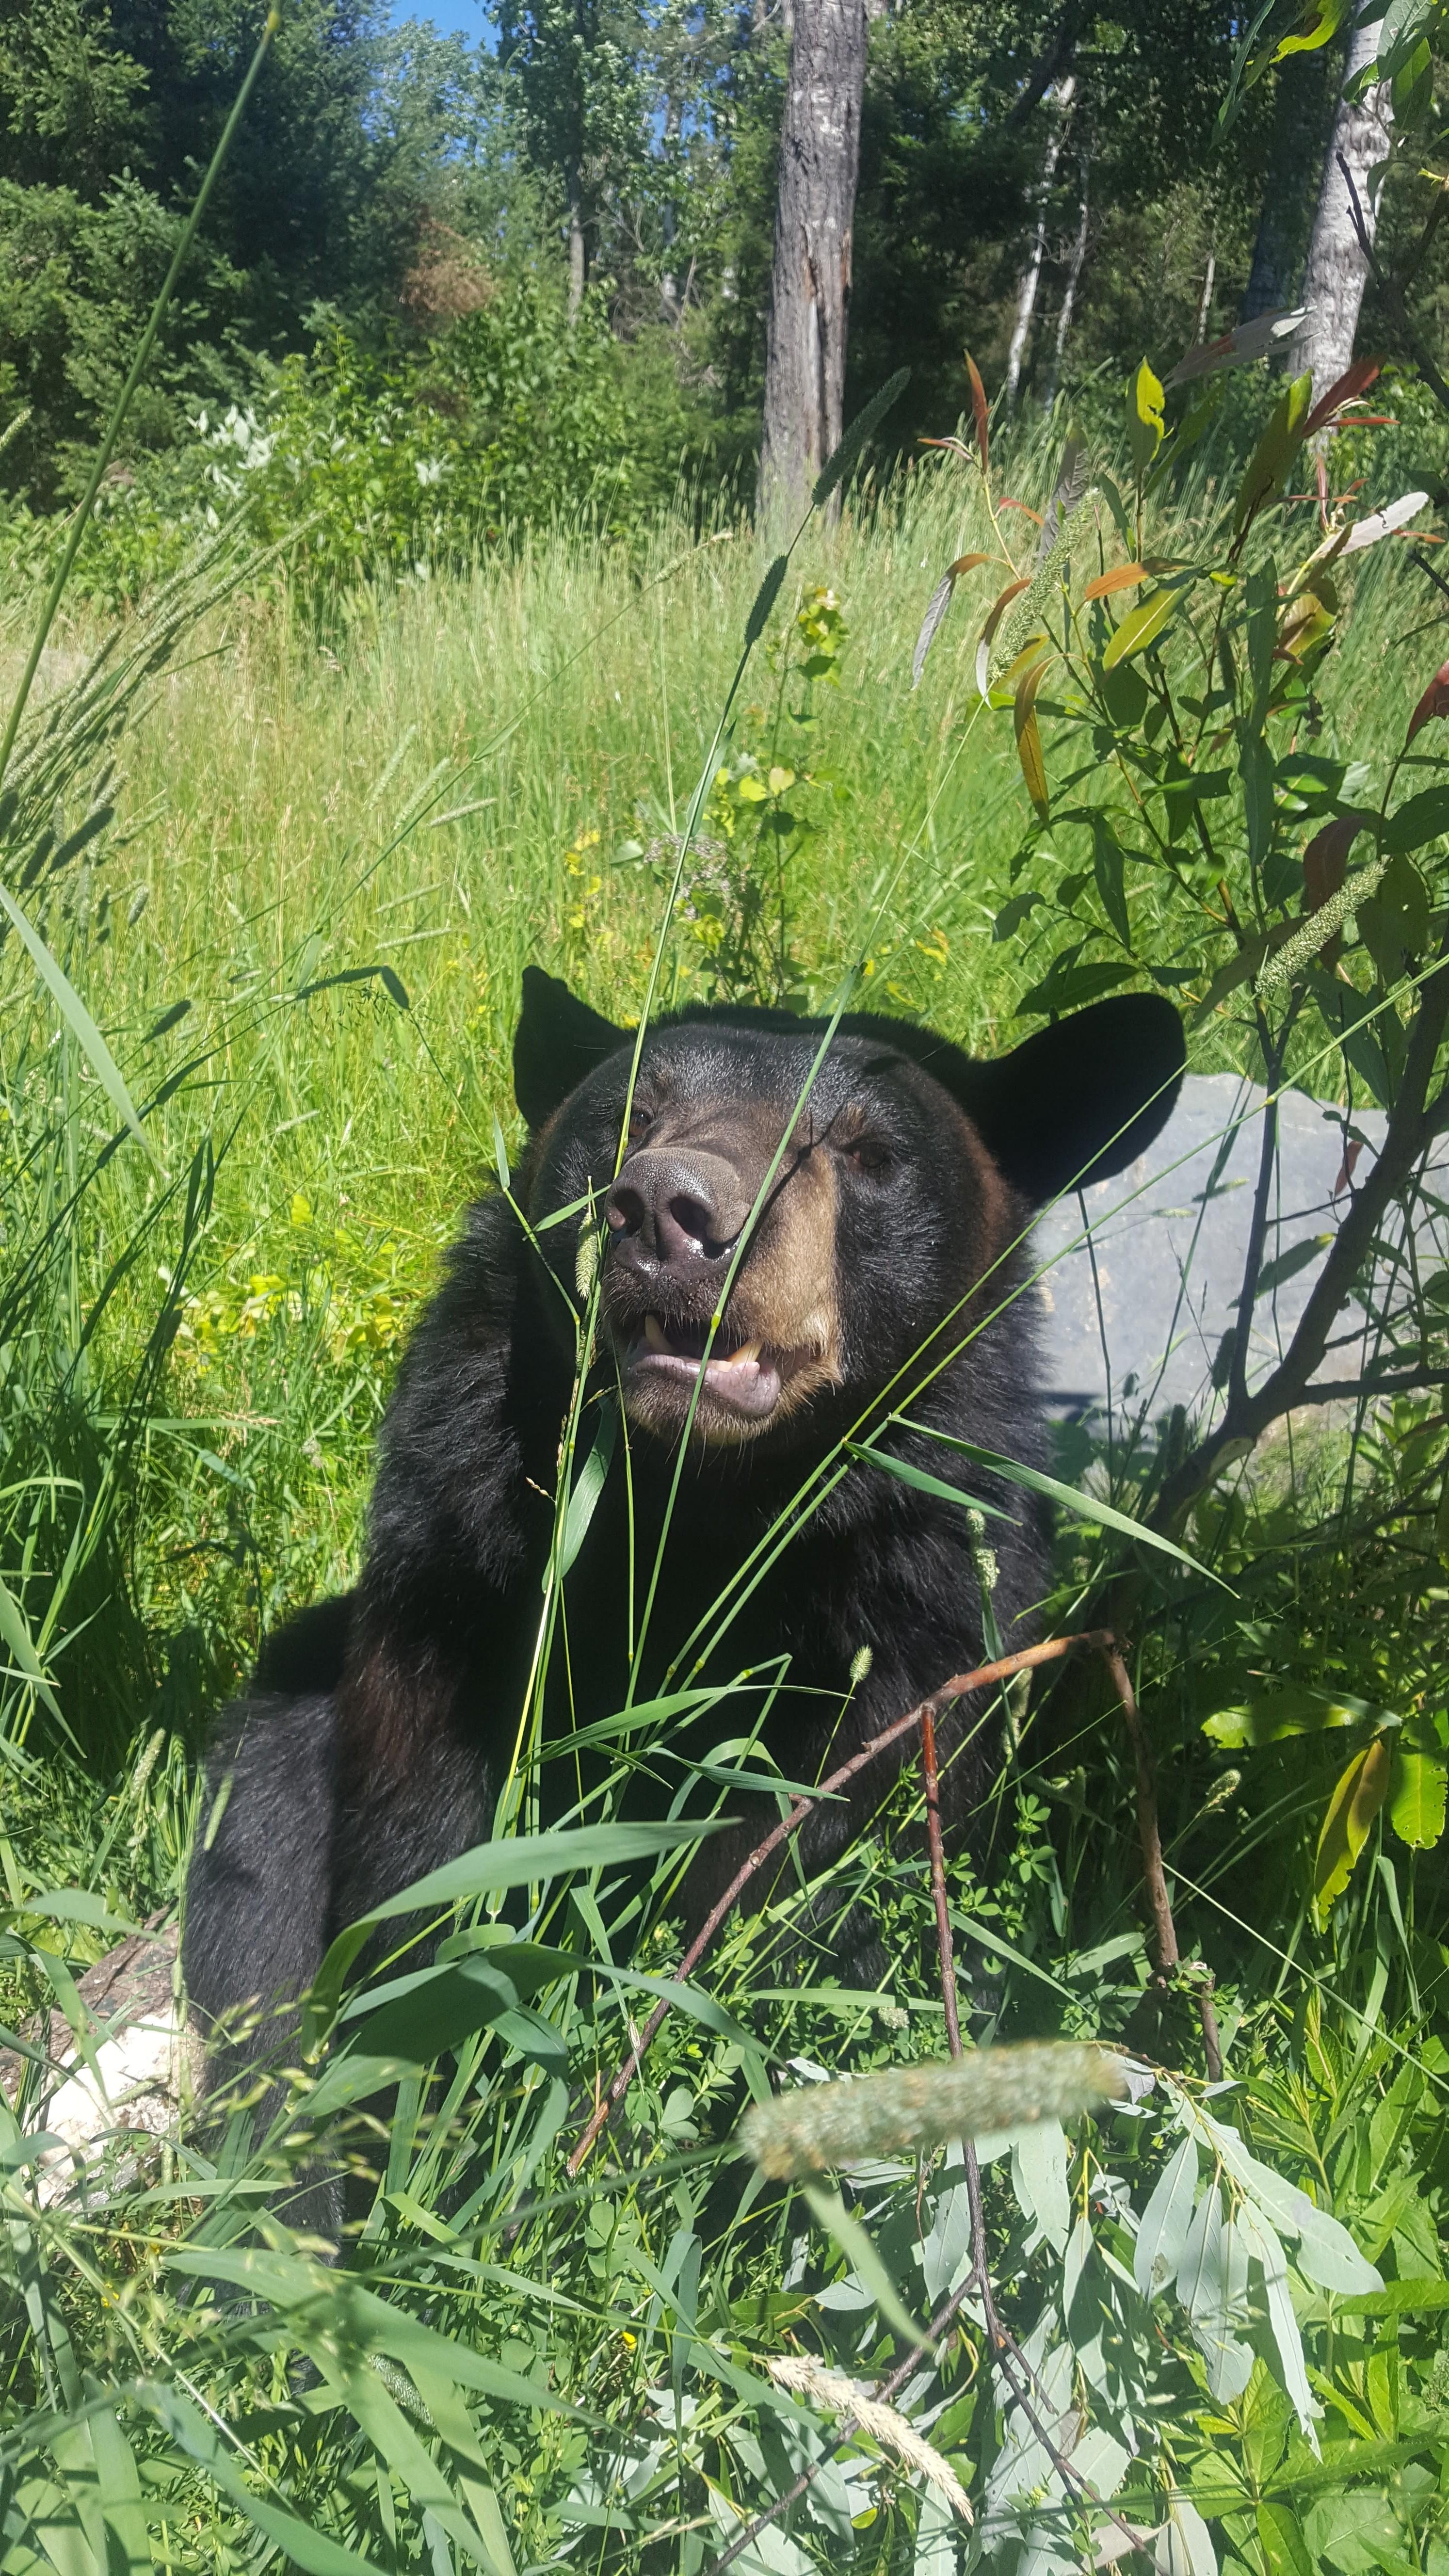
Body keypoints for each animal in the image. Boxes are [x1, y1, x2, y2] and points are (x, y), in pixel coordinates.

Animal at [183, 968, 1185, 2067]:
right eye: (629, 1117)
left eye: (868, 1150)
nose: (668, 1208)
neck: (698, 1501)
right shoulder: (459, 1561)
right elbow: (425, 1833)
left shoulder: (921, 1603)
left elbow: (823, 1861)